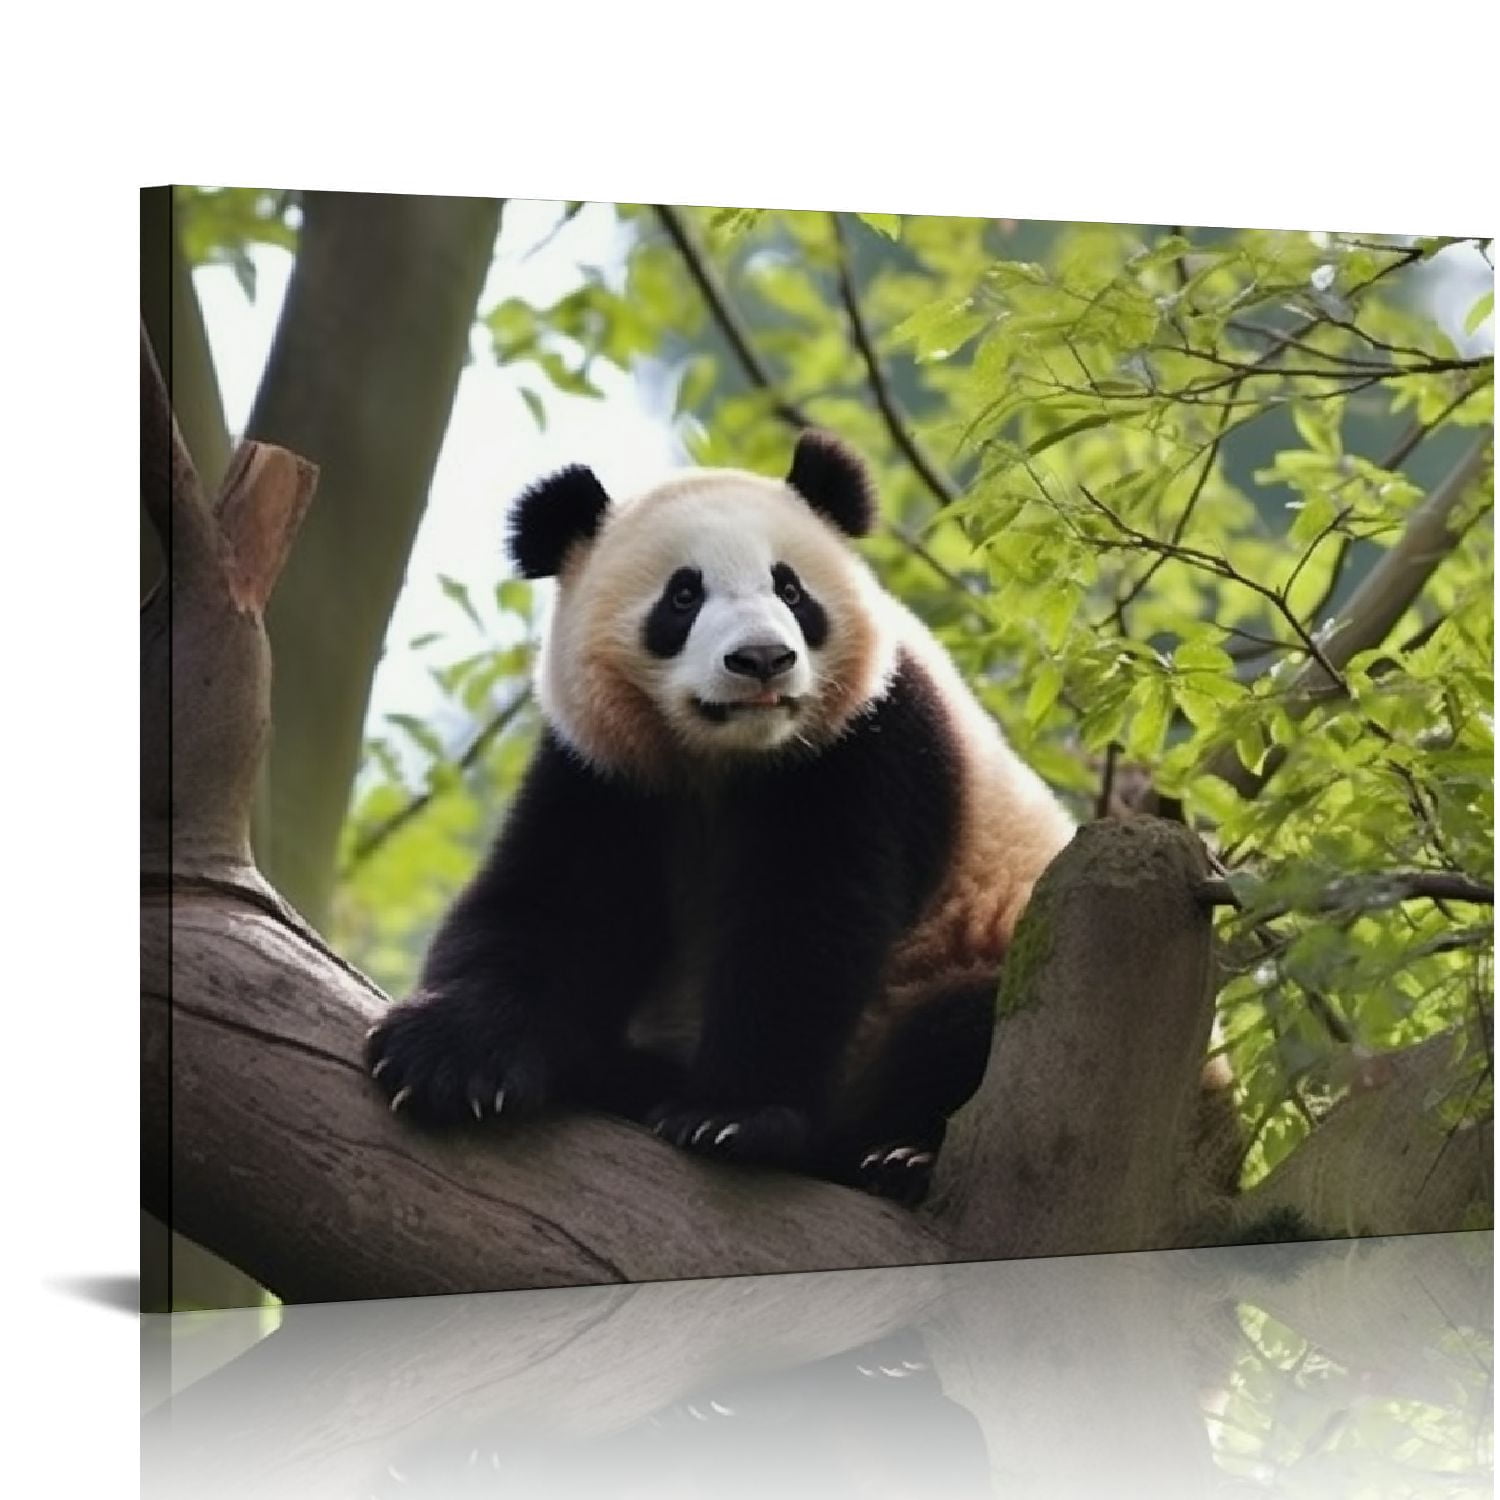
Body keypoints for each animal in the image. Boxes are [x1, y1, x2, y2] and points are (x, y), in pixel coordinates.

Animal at [365, 431, 1076, 1203]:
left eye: (790, 590)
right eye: (683, 595)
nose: (763, 659)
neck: (722, 758)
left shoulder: (868, 743)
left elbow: (805, 924)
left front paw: (730, 1114)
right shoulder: (605, 772)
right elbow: (553, 903)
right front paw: (445, 1057)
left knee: (970, 1025)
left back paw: (893, 1156)